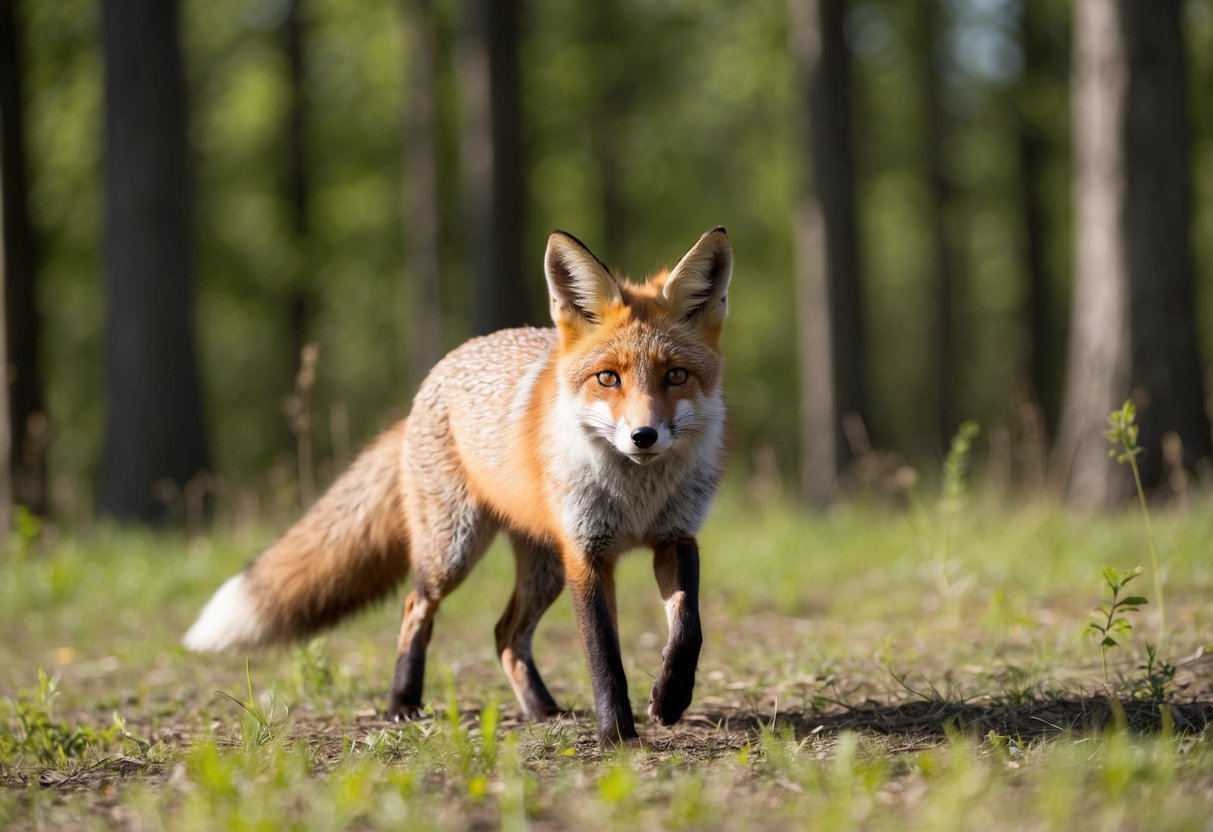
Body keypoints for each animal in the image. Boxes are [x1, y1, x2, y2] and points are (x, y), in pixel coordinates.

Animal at [184, 227, 733, 744]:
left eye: (676, 375)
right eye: (608, 378)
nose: (644, 436)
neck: (637, 498)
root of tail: (436, 374)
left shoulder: (675, 537)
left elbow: (689, 629)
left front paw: (670, 699)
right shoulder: (587, 553)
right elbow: (604, 655)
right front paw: (616, 733)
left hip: (543, 569)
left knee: (505, 635)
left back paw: (543, 711)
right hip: (453, 552)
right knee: (416, 608)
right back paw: (402, 702)